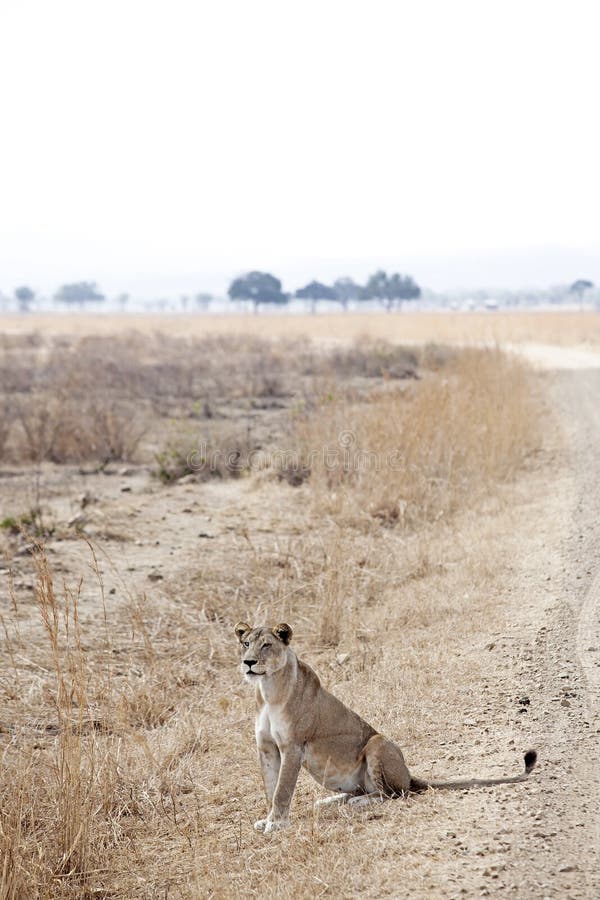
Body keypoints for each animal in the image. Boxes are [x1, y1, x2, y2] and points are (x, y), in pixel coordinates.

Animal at [235, 621, 538, 834]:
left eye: (266, 645)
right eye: (246, 643)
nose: (248, 662)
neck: (268, 690)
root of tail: (409, 774)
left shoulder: (294, 747)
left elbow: (282, 789)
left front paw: (277, 823)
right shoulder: (266, 748)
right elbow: (270, 788)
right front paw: (267, 819)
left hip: (377, 743)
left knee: (392, 794)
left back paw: (359, 802)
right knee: (362, 790)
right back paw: (328, 802)